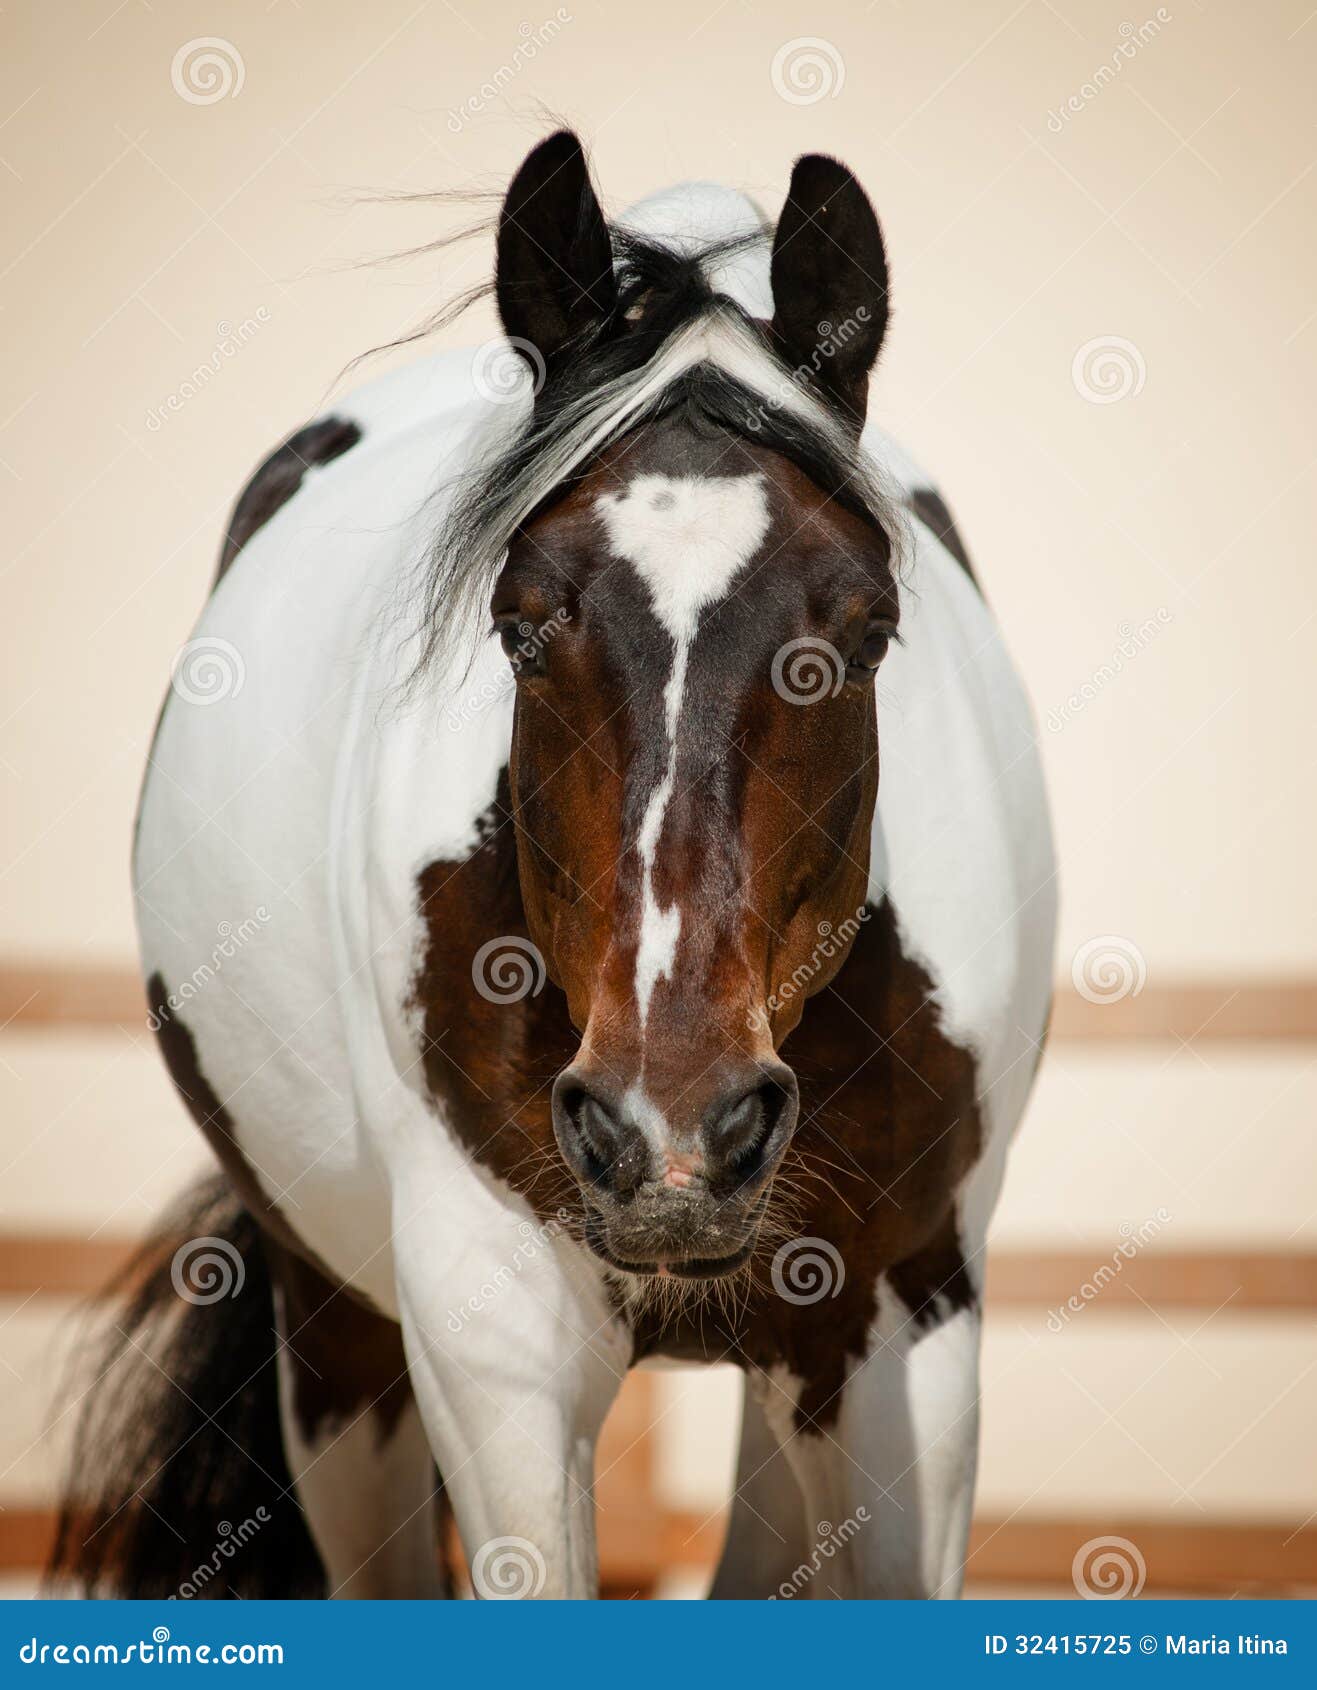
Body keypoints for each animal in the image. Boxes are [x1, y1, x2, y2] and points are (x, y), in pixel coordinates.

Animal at [52, 130, 1055, 1601]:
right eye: (520, 624)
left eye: (864, 633)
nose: (673, 1133)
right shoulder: (496, 1340)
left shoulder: (902, 1322)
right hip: (338, 1340)